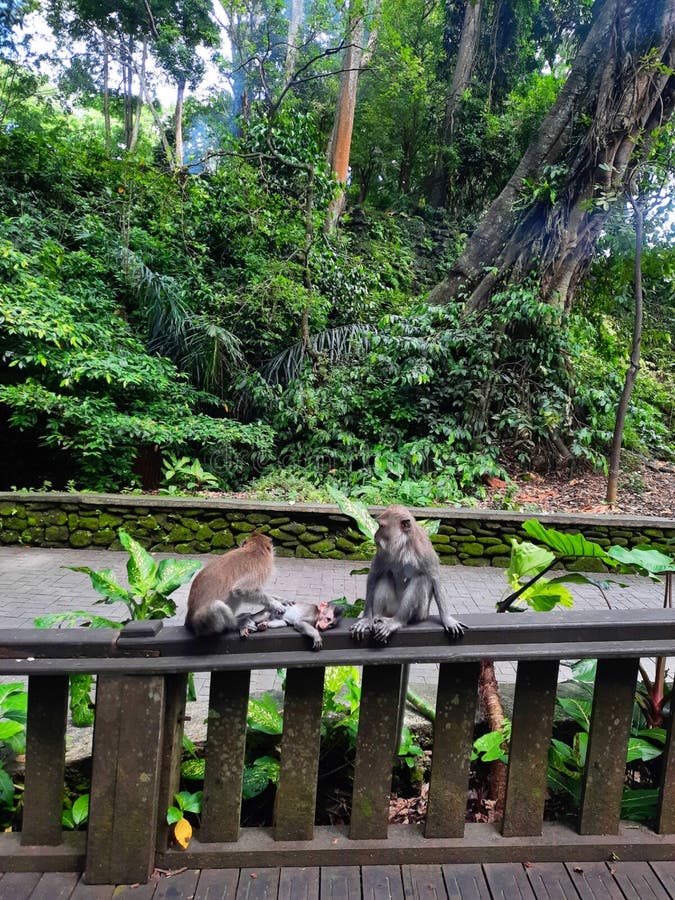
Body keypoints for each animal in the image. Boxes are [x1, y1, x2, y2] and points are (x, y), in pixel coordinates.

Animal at [350, 505, 466, 644]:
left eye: (381, 526)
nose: (375, 535)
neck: (404, 545)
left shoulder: (424, 549)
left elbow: (435, 578)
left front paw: (447, 619)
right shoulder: (383, 552)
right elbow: (373, 575)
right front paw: (366, 619)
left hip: (421, 613)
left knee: (421, 579)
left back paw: (397, 621)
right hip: (391, 608)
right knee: (385, 575)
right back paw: (377, 616)